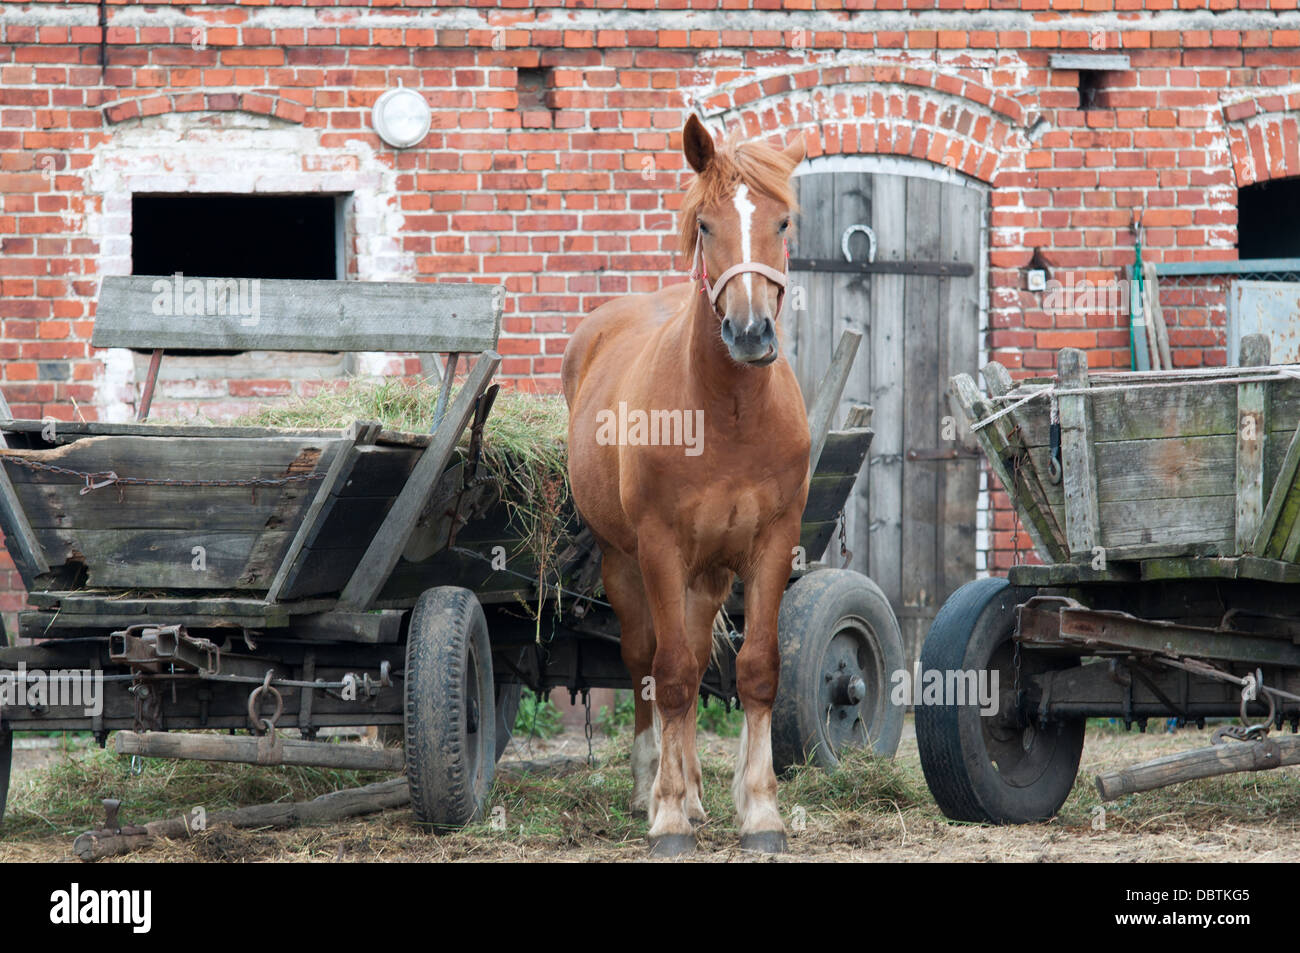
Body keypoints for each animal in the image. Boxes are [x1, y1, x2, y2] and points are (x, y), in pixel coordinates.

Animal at [561, 115, 810, 855]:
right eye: (705, 224)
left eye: (783, 222)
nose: (750, 332)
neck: (726, 413)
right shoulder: (660, 547)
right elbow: (666, 675)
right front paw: (666, 814)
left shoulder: (770, 544)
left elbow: (755, 669)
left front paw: (759, 810)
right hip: (626, 561)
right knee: (648, 659)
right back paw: (653, 786)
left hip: (710, 572)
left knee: (699, 659)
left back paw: (698, 793)